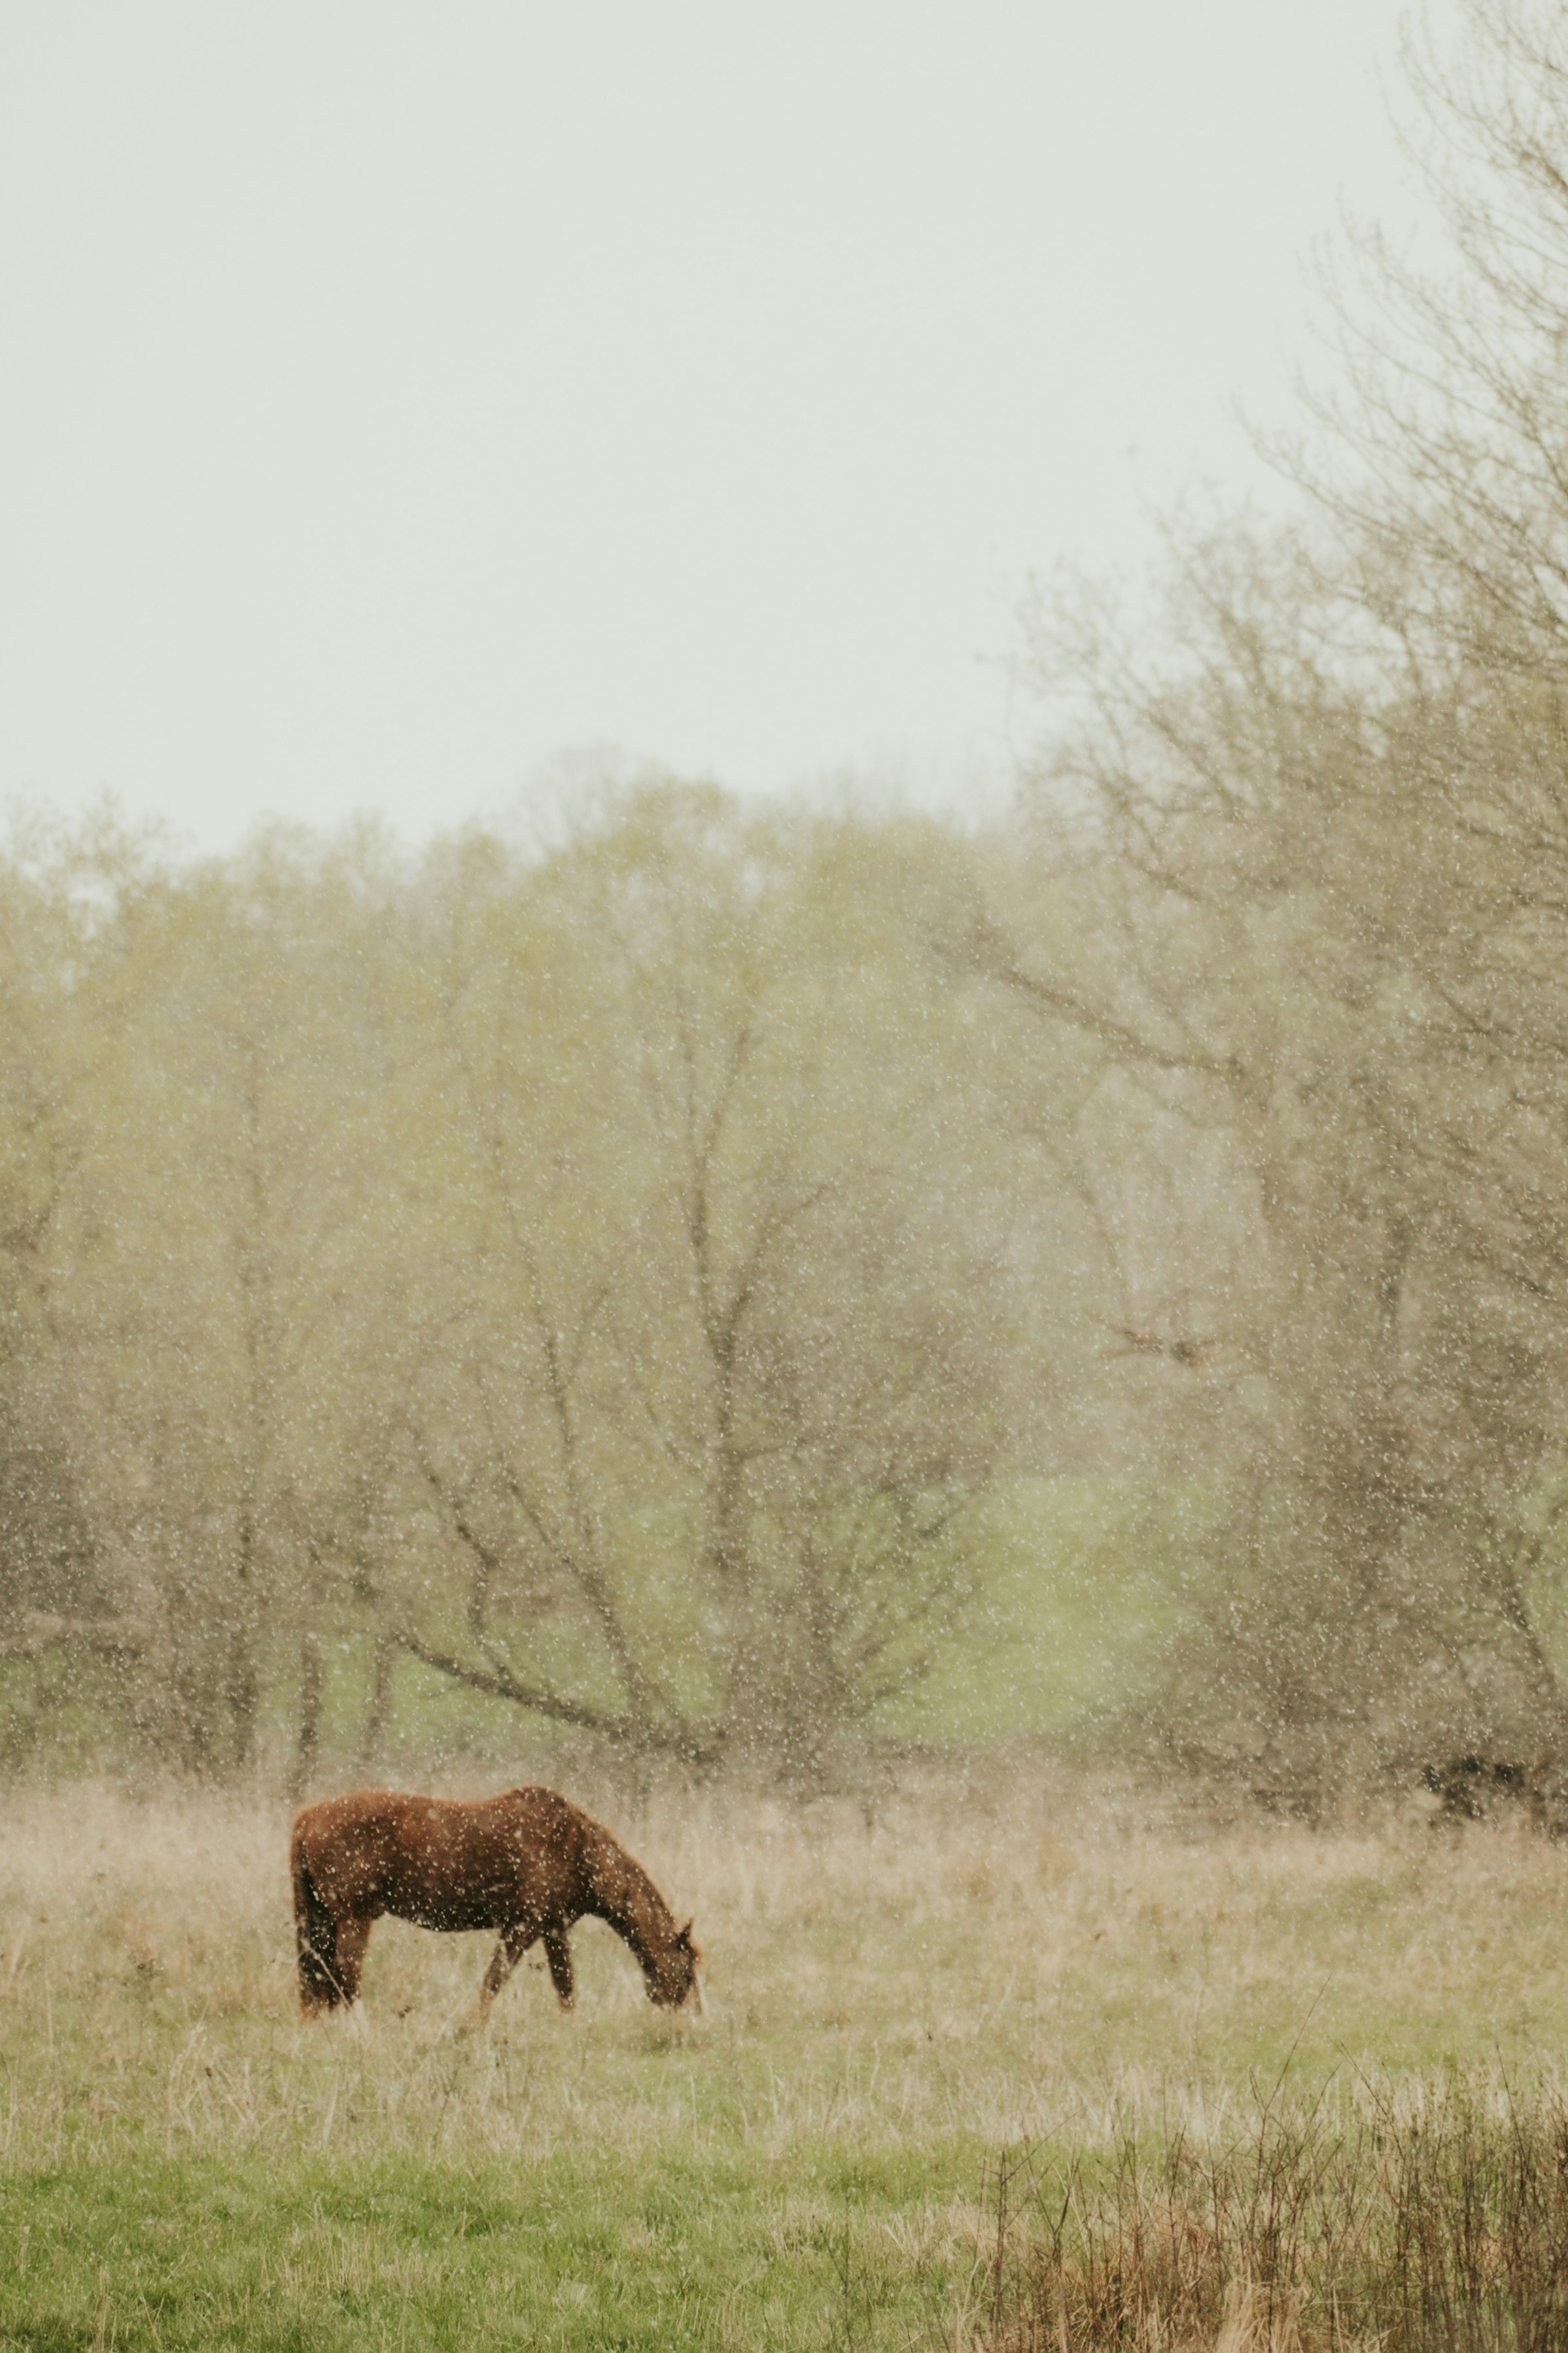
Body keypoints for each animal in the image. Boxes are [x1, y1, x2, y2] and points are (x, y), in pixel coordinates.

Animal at [289, 1784, 700, 2019]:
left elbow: (564, 1985)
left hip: (324, 1919)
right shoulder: (524, 1925)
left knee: (320, 1976)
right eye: (688, 1969)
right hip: (353, 1918)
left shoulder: (552, 1927)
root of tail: (307, 1817)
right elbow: (494, 1981)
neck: (576, 1847)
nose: (690, 2016)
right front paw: (471, 2028)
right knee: (344, 1973)